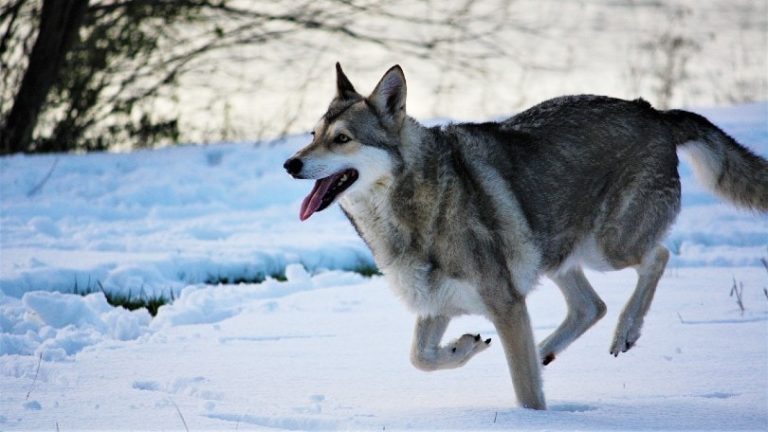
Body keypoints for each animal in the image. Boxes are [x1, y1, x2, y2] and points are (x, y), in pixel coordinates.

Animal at [283, 63, 768, 409]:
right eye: (312, 135)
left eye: (342, 139)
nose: (290, 164)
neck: (411, 205)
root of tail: (653, 111)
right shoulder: (439, 302)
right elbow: (420, 357)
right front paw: (464, 346)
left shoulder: (506, 304)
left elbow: (526, 394)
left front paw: (532, 419)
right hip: (551, 253)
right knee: (591, 305)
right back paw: (545, 350)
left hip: (604, 248)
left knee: (658, 257)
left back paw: (624, 333)